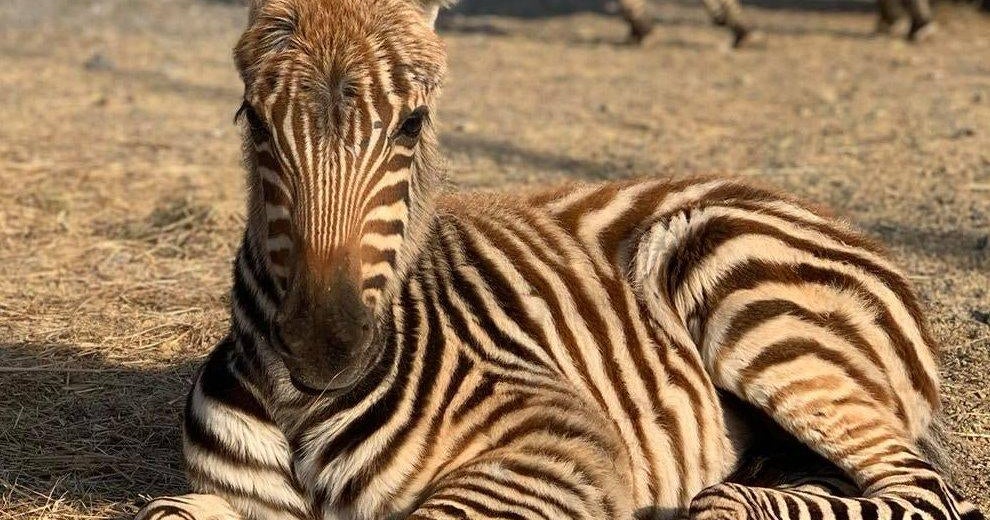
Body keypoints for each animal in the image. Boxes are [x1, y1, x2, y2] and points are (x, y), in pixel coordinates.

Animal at [134, 0, 981, 519]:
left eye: (413, 124)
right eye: (254, 122)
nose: (323, 351)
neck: (300, 408)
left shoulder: (560, 445)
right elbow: (164, 507)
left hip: (745, 298)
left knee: (933, 494)